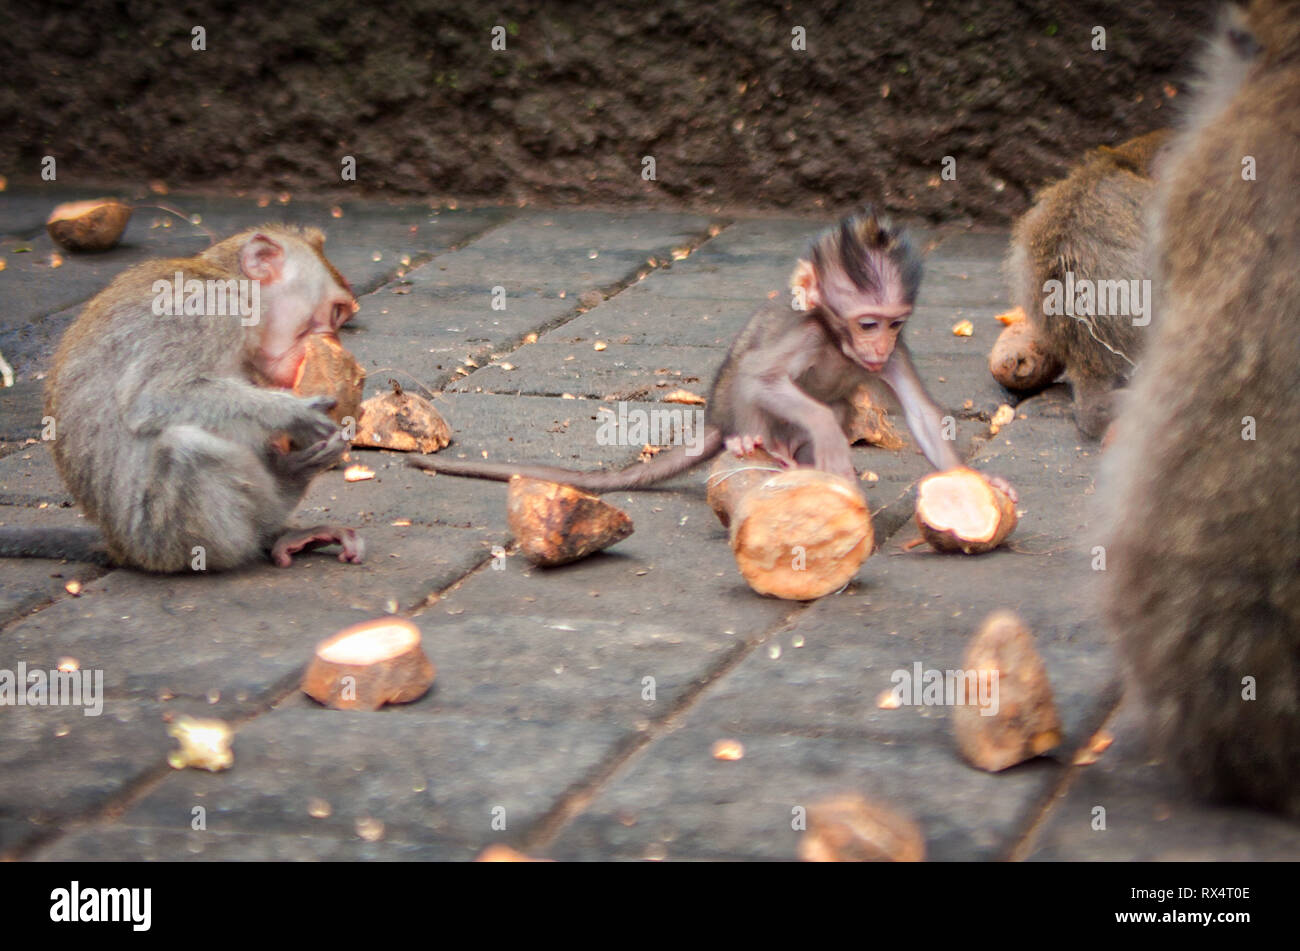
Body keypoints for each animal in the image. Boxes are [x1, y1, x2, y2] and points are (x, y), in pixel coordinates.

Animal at [0, 225, 366, 573]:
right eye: (336, 312)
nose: (335, 341)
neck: (229, 280)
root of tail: (121, 549)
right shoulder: (212, 311)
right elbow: (152, 397)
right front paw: (292, 414)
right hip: (166, 541)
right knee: (185, 447)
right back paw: (284, 490)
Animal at [409, 206, 989, 496]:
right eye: (867, 322)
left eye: (894, 324)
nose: (878, 343)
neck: (836, 339)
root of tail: (715, 422)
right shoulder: (807, 334)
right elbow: (761, 377)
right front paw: (826, 439)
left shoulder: (898, 353)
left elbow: (921, 413)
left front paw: (976, 481)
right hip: (734, 408)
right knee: (752, 389)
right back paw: (760, 444)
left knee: (844, 405)